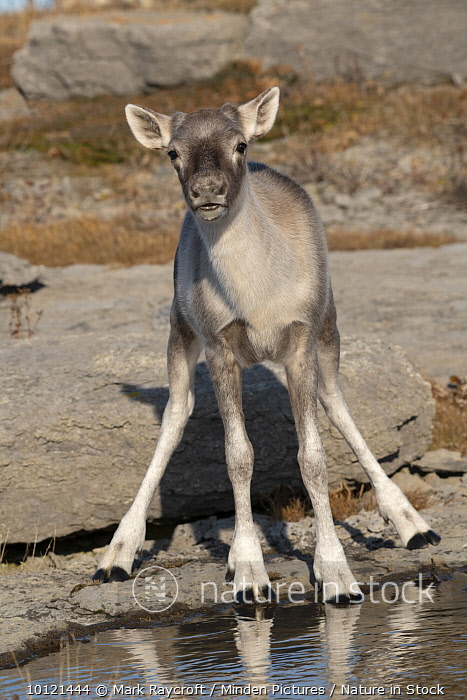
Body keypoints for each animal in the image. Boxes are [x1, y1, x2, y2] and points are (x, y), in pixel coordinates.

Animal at [93, 87, 440, 603]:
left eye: (240, 144)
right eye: (173, 152)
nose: (208, 190)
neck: (256, 297)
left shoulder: (300, 340)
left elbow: (312, 459)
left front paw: (338, 577)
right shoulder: (218, 345)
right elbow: (238, 456)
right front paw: (250, 573)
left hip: (329, 328)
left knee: (335, 400)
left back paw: (414, 525)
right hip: (179, 328)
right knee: (177, 410)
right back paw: (118, 554)